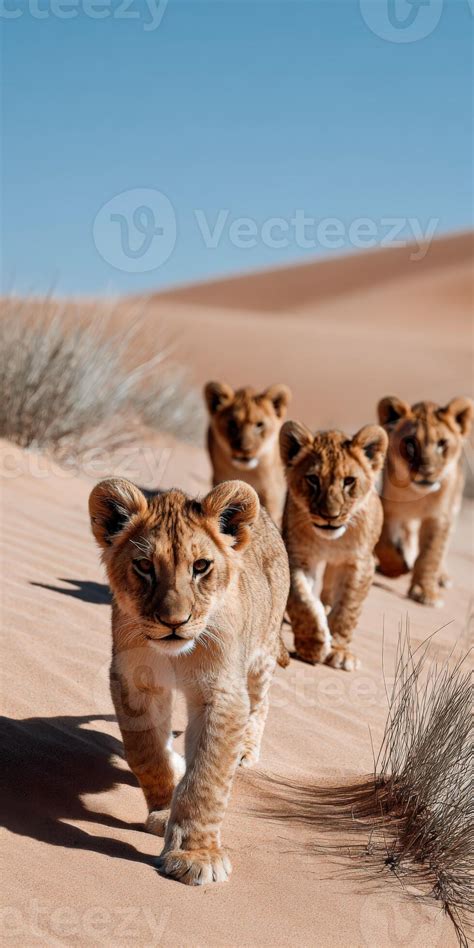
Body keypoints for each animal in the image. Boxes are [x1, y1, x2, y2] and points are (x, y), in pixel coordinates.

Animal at [89, 476, 289, 885]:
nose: (174, 622)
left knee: (260, 702)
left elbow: (207, 777)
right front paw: (165, 810)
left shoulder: (223, 694)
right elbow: (147, 752)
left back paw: (246, 751)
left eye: (201, 566)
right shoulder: (134, 683)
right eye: (144, 566)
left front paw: (196, 856)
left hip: (261, 654)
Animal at [280, 421, 388, 670]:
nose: (330, 516)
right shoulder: (298, 556)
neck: (331, 541)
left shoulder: (359, 563)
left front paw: (339, 651)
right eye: (313, 479)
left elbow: (347, 609)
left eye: (349, 481)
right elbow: (301, 600)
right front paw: (313, 645)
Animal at [375, 395, 473, 606]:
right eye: (410, 444)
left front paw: (424, 592)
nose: (427, 472)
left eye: (442, 443)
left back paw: (442, 577)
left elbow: (431, 553)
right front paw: (396, 569)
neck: (418, 496)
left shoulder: (440, 518)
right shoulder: (390, 509)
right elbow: (385, 544)